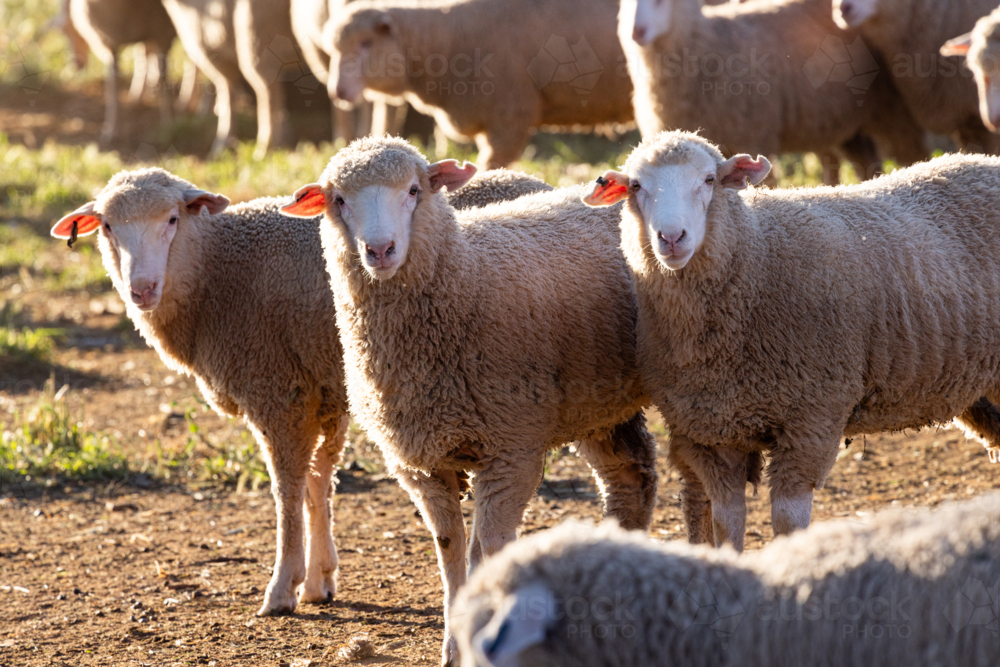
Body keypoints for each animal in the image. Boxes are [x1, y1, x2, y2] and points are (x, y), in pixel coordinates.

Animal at [46, 165, 544, 617]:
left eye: (171, 219)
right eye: (108, 226)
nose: (142, 289)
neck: (215, 270)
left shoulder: (276, 390)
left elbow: (287, 490)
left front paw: (283, 587)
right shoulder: (324, 389)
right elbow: (318, 482)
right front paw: (320, 579)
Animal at [64, 0, 177, 147]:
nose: (76, 64)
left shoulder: (163, 33)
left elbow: (163, 80)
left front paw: (168, 127)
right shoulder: (112, 43)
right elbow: (114, 87)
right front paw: (111, 130)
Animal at [280, 136, 658, 665]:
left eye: (414, 190)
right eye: (338, 200)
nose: (380, 250)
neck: (465, 277)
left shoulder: (512, 449)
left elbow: (488, 549)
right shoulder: (422, 463)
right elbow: (451, 550)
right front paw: (452, 649)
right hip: (599, 404)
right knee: (631, 482)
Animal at [583, 130, 1000, 553]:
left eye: (709, 180)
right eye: (637, 186)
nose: (671, 238)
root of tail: (986, 160)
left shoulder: (812, 418)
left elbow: (787, 519)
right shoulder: (712, 430)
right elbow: (726, 521)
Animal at [620, 0, 930, 184]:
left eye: (661, 2)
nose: (637, 32)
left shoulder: (753, 135)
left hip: (890, 107)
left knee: (912, 151)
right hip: (845, 124)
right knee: (866, 162)